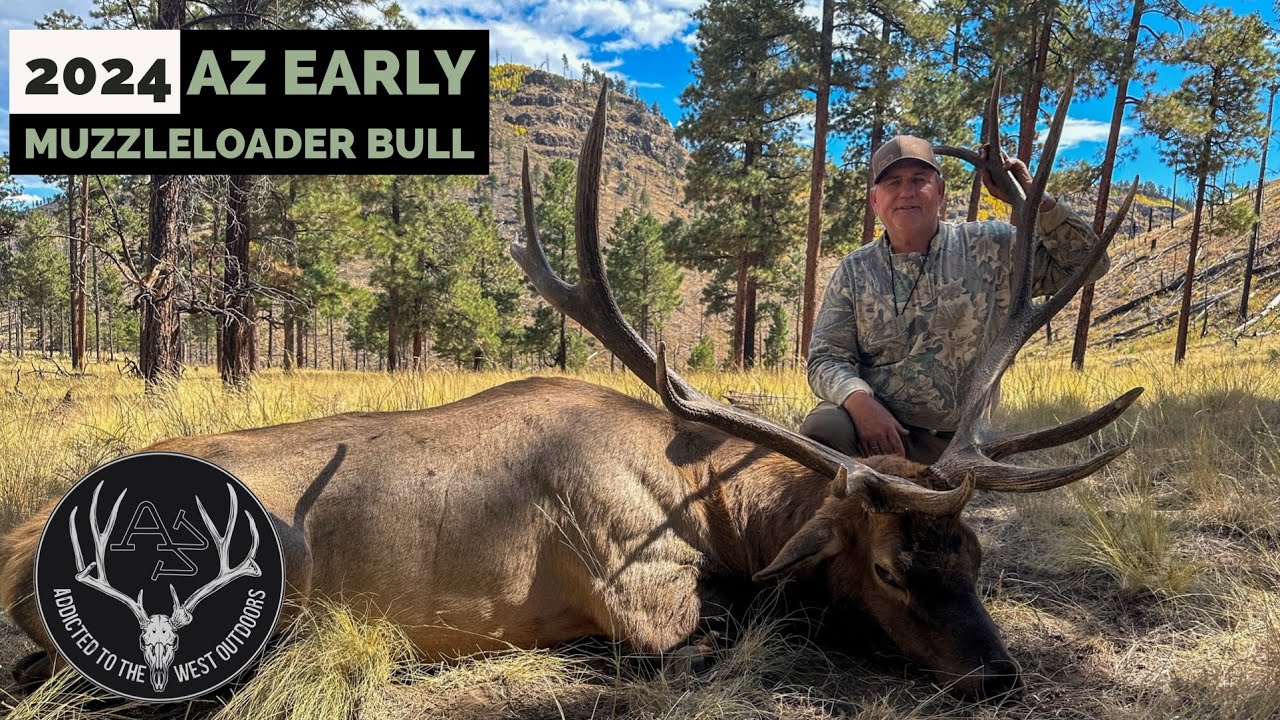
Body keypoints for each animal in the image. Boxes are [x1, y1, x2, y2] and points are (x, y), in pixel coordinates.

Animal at [0, 74, 1139, 702]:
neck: (721, 510)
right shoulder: (644, 596)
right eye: (897, 570)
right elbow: (731, 629)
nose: (1001, 677)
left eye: (977, 558)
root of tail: (18, 545)